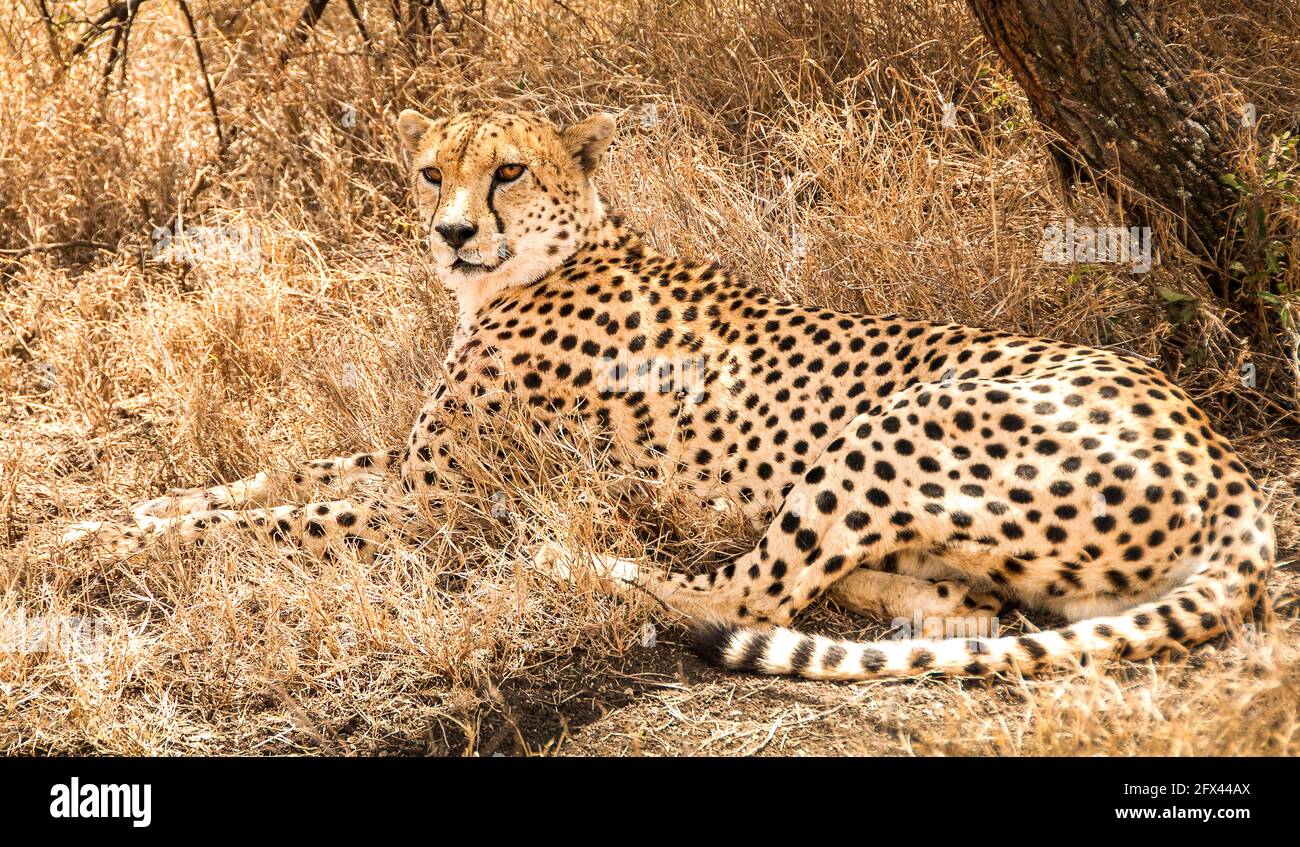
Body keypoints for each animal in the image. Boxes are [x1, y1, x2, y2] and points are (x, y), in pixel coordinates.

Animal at [58, 106, 1275, 681]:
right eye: (430, 170)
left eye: (507, 171)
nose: (449, 232)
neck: (541, 260)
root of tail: (1225, 458)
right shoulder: (405, 465)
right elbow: (257, 479)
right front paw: (86, 522)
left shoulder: (439, 501)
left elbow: (271, 519)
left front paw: (82, 551)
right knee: (956, 609)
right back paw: (892, 591)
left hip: (900, 424)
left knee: (740, 593)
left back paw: (575, 559)